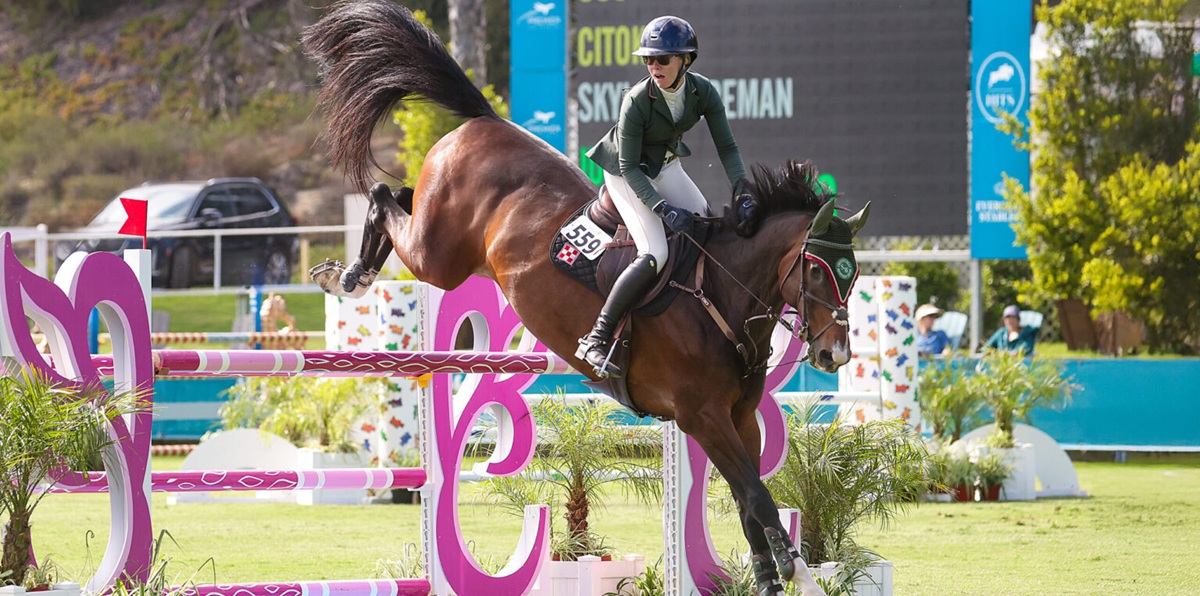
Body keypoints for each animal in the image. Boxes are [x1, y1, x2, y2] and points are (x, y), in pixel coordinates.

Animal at [302, 2, 868, 594]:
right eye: (815, 271)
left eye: (851, 275)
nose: (834, 354)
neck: (719, 296)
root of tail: (485, 120)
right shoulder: (702, 416)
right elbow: (756, 496)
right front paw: (798, 571)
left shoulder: (739, 416)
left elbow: (747, 500)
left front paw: (770, 575)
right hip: (440, 258)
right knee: (384, 197)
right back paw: (349, 276)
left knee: (403, 194)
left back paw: (349, 271)